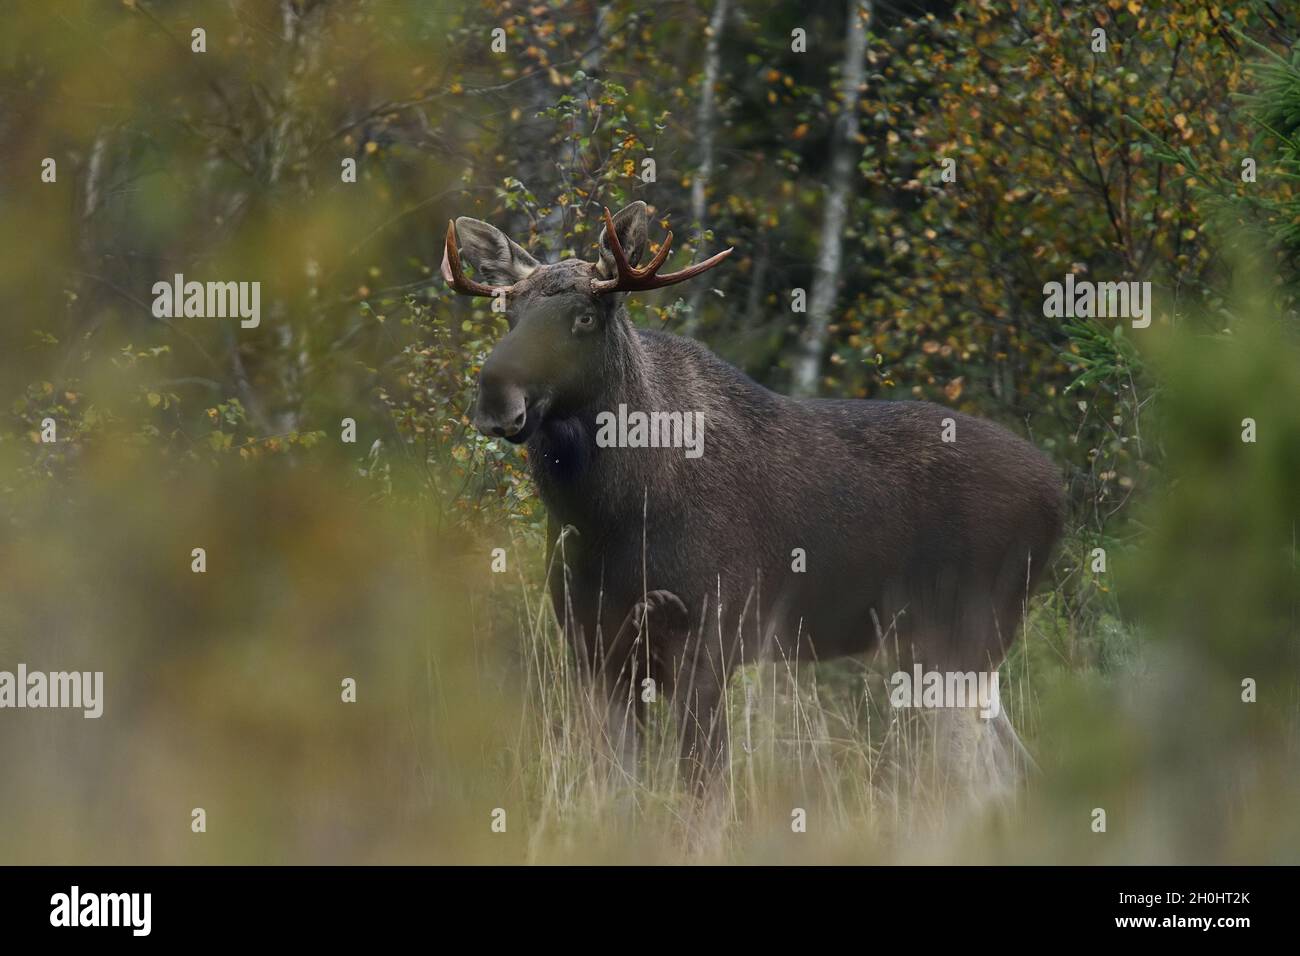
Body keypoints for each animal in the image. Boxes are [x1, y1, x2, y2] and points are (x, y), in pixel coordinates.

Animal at [443, 200, 1064, 787]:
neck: (610, 513)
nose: (495, 393)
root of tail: (1060, 492)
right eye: (509, 314)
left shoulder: (709, 638)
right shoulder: (595, 648)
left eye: (584, 316)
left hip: (966, 632)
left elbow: (704, 791)